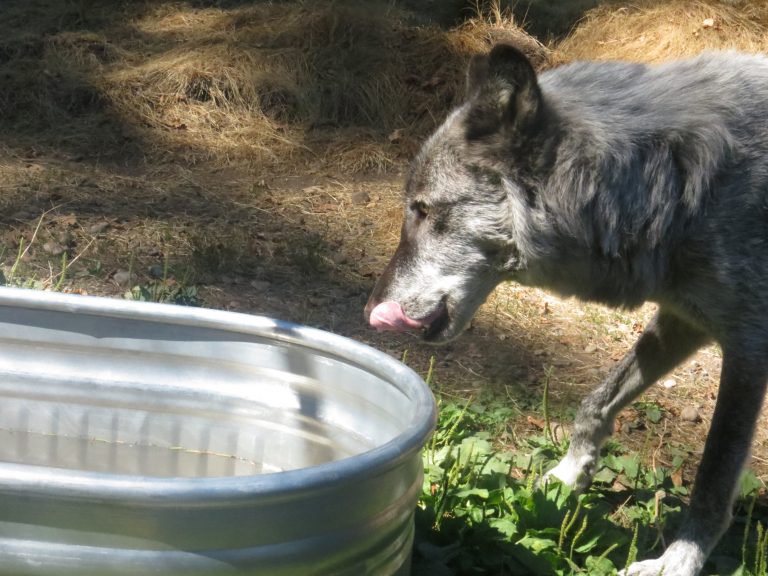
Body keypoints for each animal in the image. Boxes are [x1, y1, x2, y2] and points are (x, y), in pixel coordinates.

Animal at [364, 45, 768, 576]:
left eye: (423, 209)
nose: (371, 307)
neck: (671, 183)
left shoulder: (748, 349)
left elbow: (714, 478)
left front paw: (677, 561)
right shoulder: (683, 320)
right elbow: (595, 402)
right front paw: (567, 476)